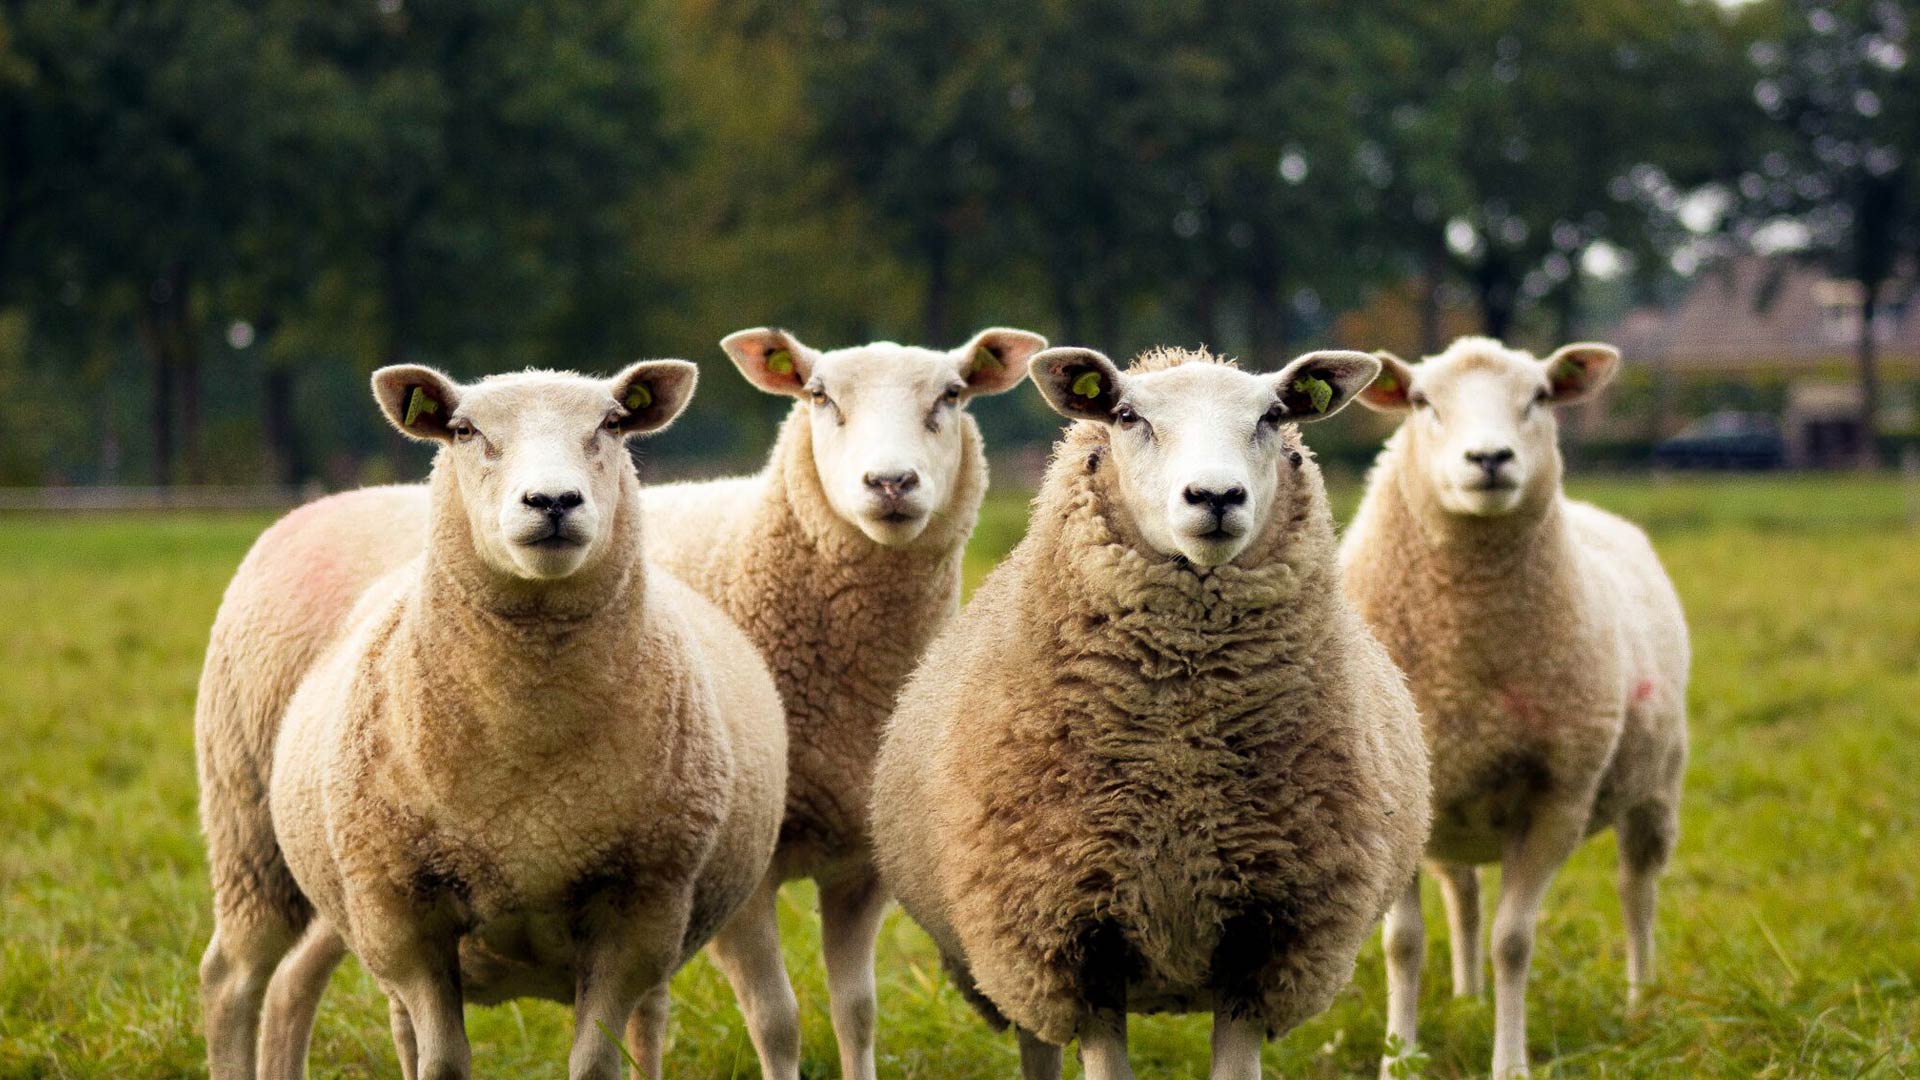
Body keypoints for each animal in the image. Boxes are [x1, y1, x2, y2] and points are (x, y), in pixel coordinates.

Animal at [201, 361, 789, 1080]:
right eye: (463, 429)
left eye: (612, 423)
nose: (553, 501)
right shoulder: (404, 910)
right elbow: (443, 1063)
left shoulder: (642, 909)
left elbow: (596, 1063)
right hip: (250, 830)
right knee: (233, 979)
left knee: (293, 983)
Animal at [634, 325, 1046, 1080]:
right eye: (820, 396)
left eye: (952, 395)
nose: (890, 483)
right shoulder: (747, 872)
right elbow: (777, 1020)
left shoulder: (862, 863)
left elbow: (856, 1011)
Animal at [870, 344, 1432, 1080]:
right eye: (1128, 416)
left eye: (1273, 417)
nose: (1216, 497)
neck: (1180, 758)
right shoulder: (1071, 938)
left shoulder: (1266, 937)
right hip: (1012, 957)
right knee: (1036, 1046)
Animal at [1340, 336, 1690, 1080]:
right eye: (1421, 401)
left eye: (1540, 396)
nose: (1490, 460)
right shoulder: (1395, 801)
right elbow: (1404, 943)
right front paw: (1400, 1058)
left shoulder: (1559, 799)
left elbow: (1514, 942)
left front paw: (1510, 1062)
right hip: (1451, 809)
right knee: (1464, 895)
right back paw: (1468, 999)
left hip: (1655, 787)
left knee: (1636, 891)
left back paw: (1640, 1002)